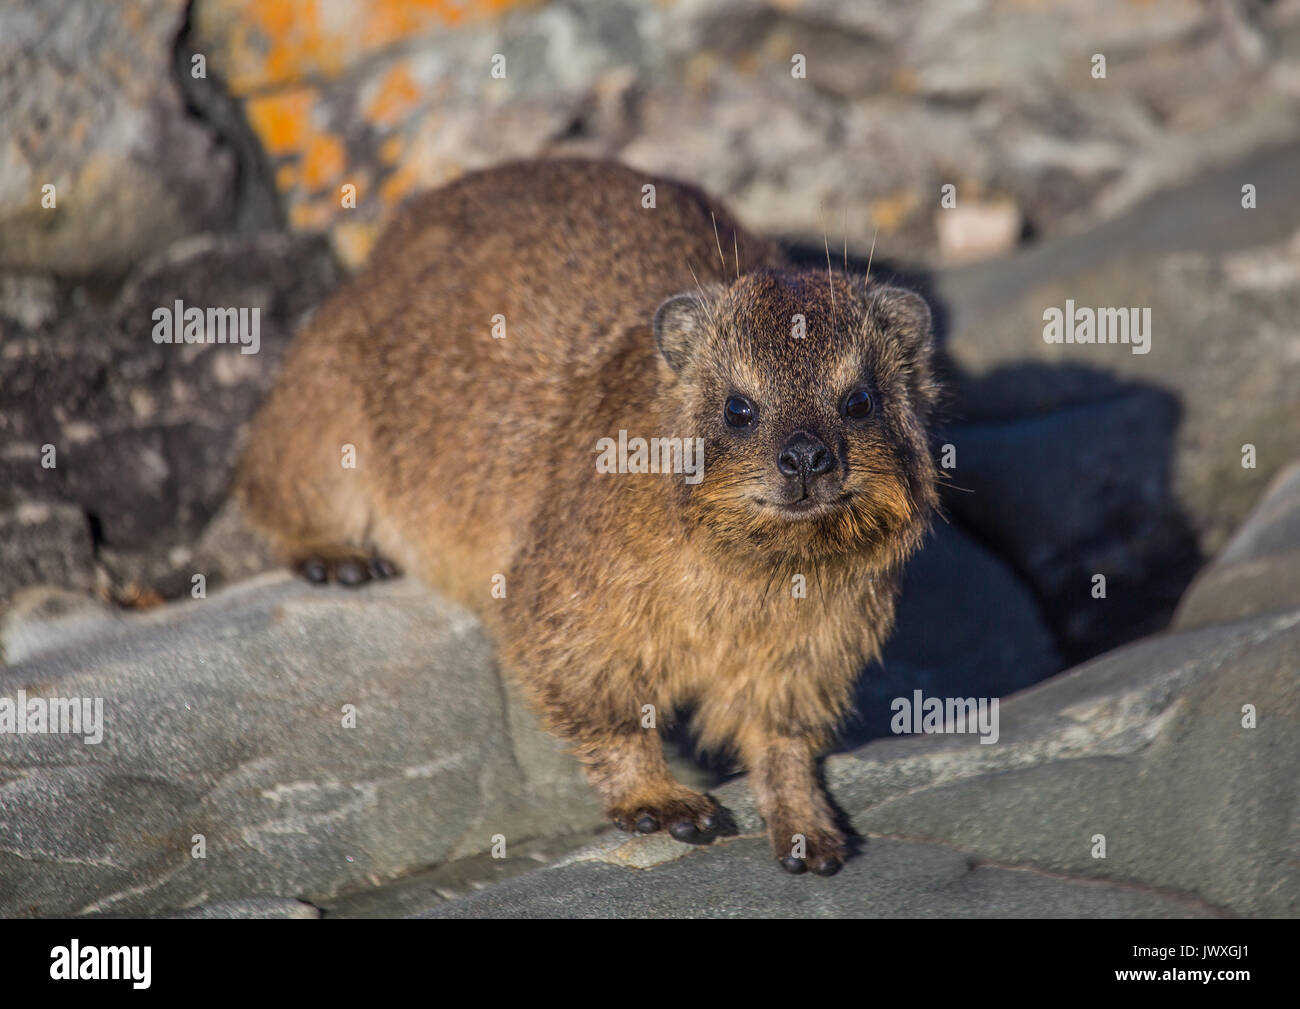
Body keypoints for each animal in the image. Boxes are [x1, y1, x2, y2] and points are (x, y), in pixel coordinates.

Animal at [236, 159, 939, 876]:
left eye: (859, 400)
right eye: (738, 408)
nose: (804, 457)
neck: (754, 584)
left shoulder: (818, 646)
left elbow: (782, 737)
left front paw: (808, 830)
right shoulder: (570, 602)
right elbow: (602, 706)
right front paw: (663, 801)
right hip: (322, 416)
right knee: (266, 486)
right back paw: (339, 558)